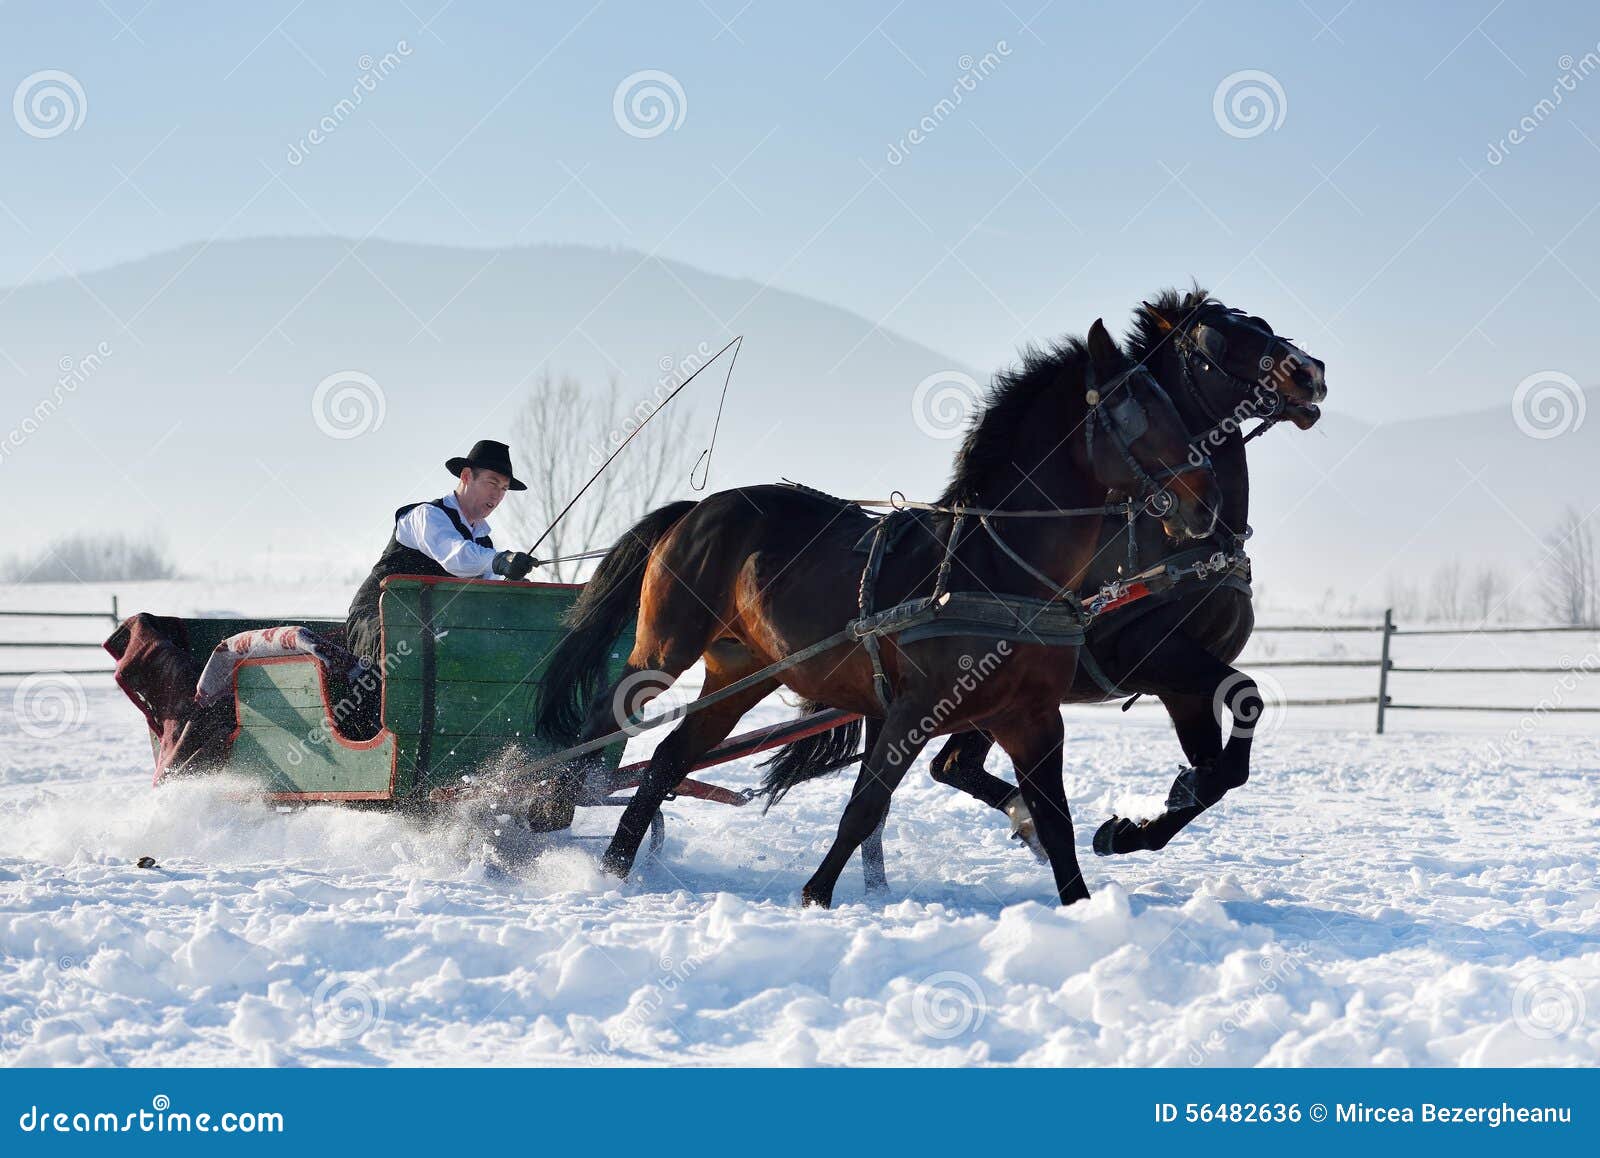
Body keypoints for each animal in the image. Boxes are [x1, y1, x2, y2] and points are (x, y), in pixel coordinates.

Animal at [532, 319, 1221, 907]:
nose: (1206, 501)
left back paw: (615, 866)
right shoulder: (916, 709)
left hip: (740, 670)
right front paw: (815, 896)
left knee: (669, 759)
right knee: (605, 719)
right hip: (664, 647)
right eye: (1138, 407)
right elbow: (865, 808)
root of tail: (699, 508)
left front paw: (1081, 909)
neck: (995, 570)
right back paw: (542, 811)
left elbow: (1055, 822)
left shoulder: (1031, 716)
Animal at [761, 288, 1328, 884]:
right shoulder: (1154, 655)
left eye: (1263, 323)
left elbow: (1220, 763)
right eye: (1219, 339)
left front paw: (1141, 822)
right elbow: (1245, 704)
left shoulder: (1181, 681)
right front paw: (1146, 816)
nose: (1312, 372)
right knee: (926, 774)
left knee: (939, 768)